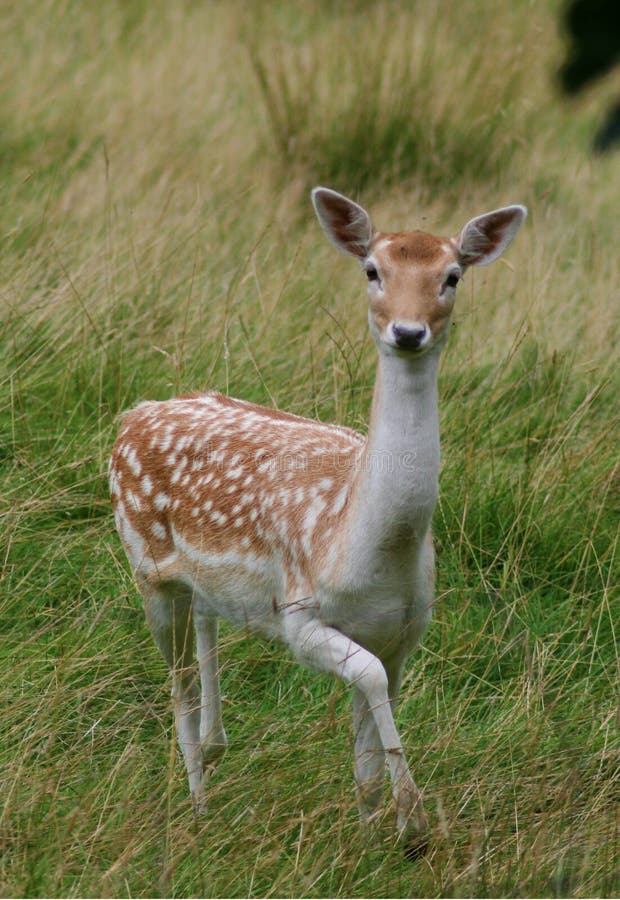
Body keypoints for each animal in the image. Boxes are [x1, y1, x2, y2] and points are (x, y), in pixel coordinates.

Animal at [109, 187, 526, 855]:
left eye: (452, 276)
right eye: (372, 270)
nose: (408, 331)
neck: (365, 547)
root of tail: (133, 415)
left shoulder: (406, 631)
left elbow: (370, 727)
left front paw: (373, 830)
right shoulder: (299, 615)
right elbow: (371, 680)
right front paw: (413, 821)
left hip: (203, 584)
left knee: (205, 621)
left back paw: (218, 748)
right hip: (145, 565)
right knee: (176, 684)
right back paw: (197, 803)